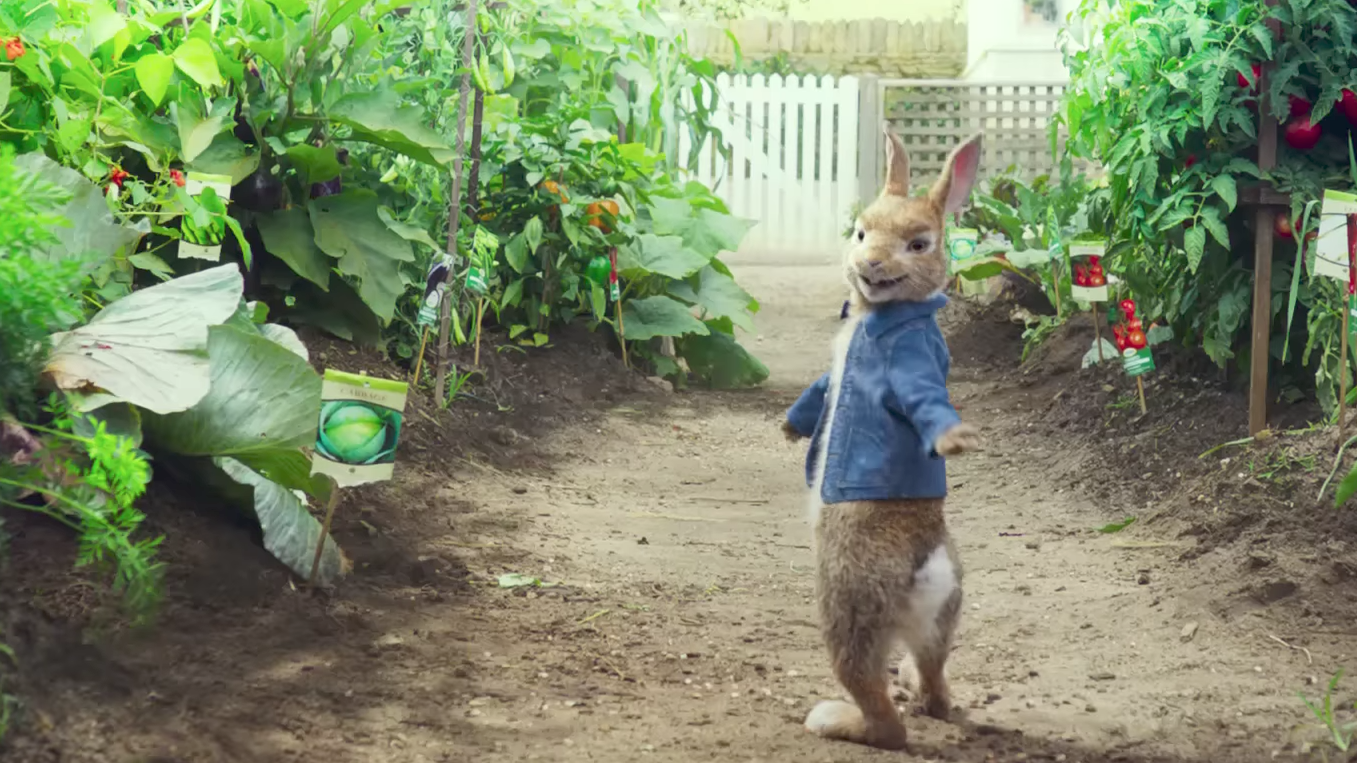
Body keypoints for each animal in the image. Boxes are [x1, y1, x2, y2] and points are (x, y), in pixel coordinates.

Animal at [781, 125, 984, 751]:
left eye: (919, 244)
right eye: (862, 231)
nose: (868, 262)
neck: (885, 314)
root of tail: (925, 569)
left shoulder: (910, 365)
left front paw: (952, 440)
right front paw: (790, 427)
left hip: (849, 607)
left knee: (884, 721)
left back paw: (835, 719)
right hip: (942, 619)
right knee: (937, 683)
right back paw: (922, 694)